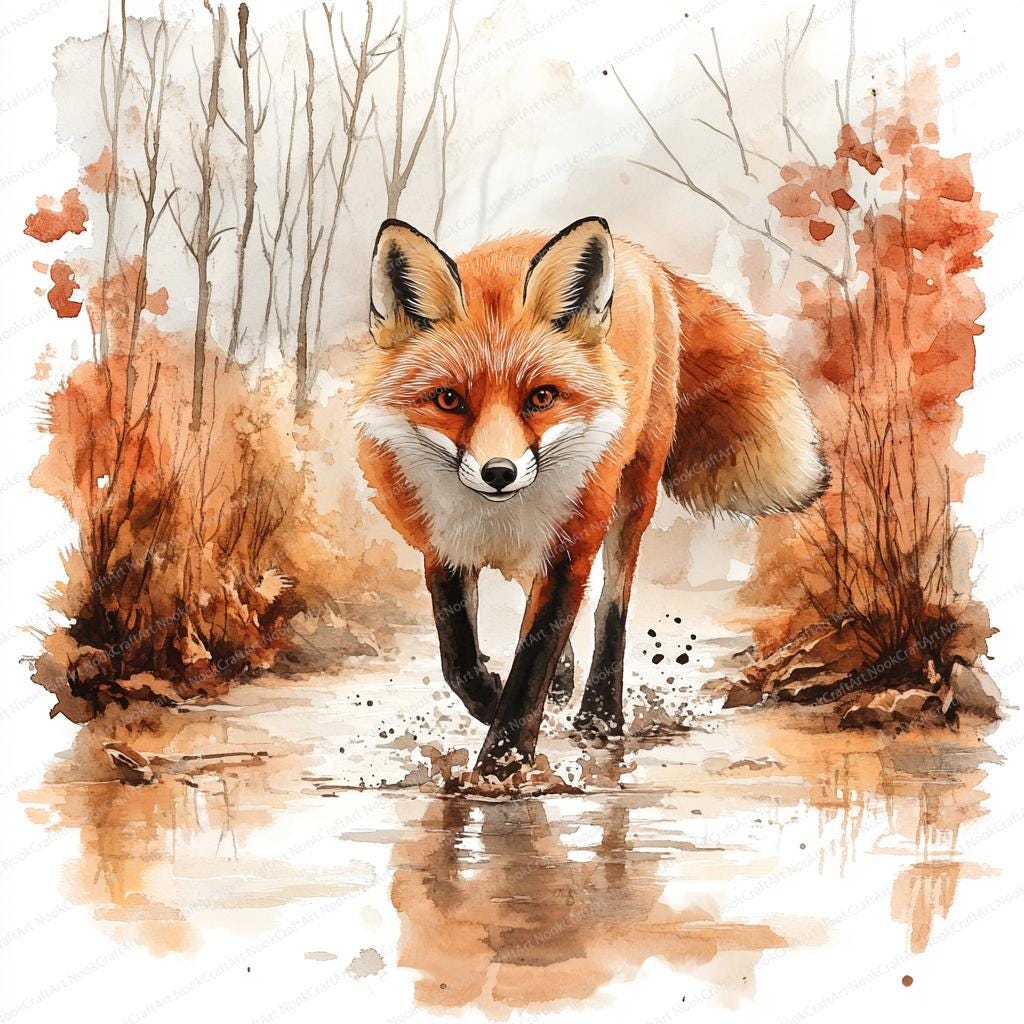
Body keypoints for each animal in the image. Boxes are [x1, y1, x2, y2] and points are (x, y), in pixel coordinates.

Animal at [354, 216, 828, 777]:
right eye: (449, 399)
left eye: (542, 397)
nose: (499, 473)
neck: (496, 518)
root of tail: (639, 254)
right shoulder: (443, 546)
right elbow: (459, 660)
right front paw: (494, 705)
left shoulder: (569, 550)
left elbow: (531, 666)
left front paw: (502, 764)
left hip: (631, 496)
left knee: (611, 606)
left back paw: (601, 713)